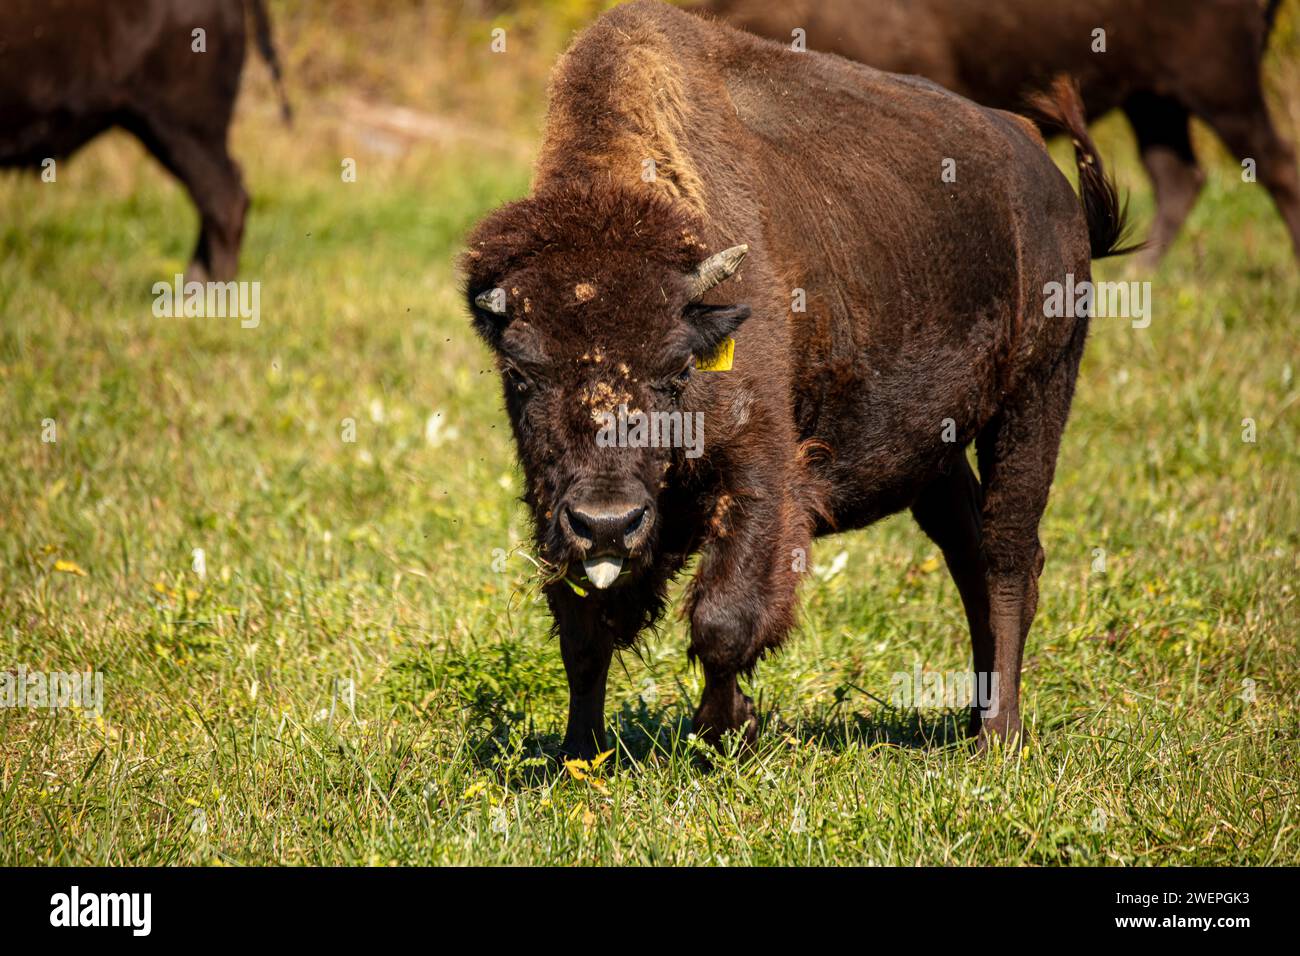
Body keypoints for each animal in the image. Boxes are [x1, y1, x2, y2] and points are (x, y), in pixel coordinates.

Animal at [463, 0, 1130, 757]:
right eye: (521, 371)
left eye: (676, 368)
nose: (608, 522)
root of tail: (1048, 176)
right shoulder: (555, 509)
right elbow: (583, 634)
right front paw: (582, 754)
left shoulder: (763, 466)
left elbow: (724, 619)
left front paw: (728, 729)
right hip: (937, 446)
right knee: (968, 553)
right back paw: (969, 720)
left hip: (1037, 394)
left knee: (1009, 555)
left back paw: (998, 736)